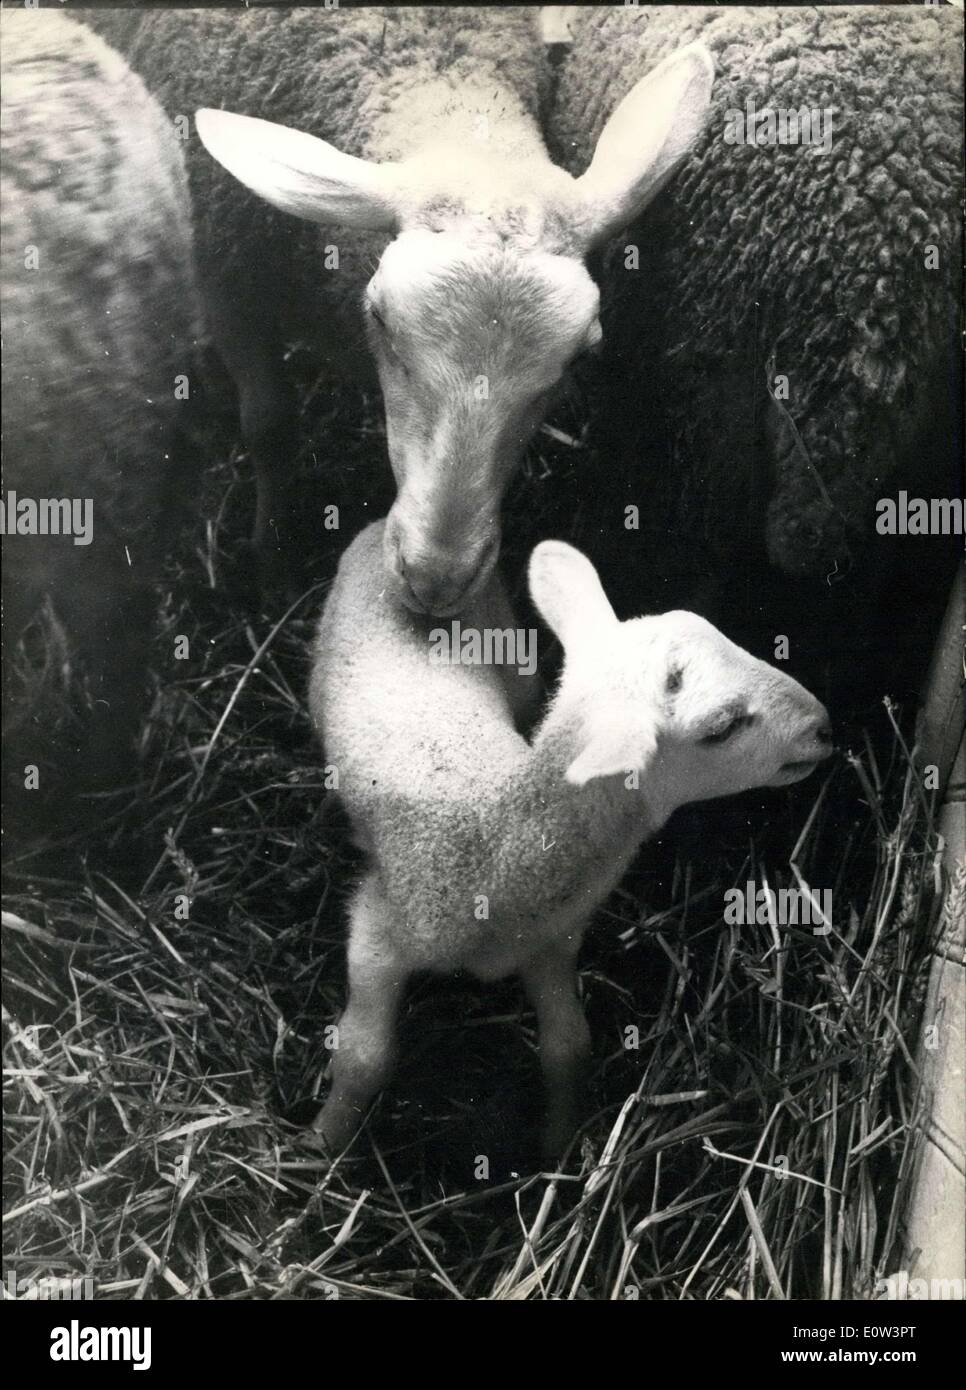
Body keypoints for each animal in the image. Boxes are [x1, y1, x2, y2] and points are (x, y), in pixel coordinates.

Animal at [82, 6, 713, 612]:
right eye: (381, 320)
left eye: (582, 357)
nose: (436, 581)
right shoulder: (225, 277)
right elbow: (270, 425)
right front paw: (273, 564)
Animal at [308, 520, 831, 1156]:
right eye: (722, 727)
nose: (824, 725)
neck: (494, 840)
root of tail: (384, 525)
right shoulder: (378, 930)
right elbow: (365, 1058)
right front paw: (322, 1143)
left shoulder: (551, 943)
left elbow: (568, 1049)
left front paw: (557, 1145)